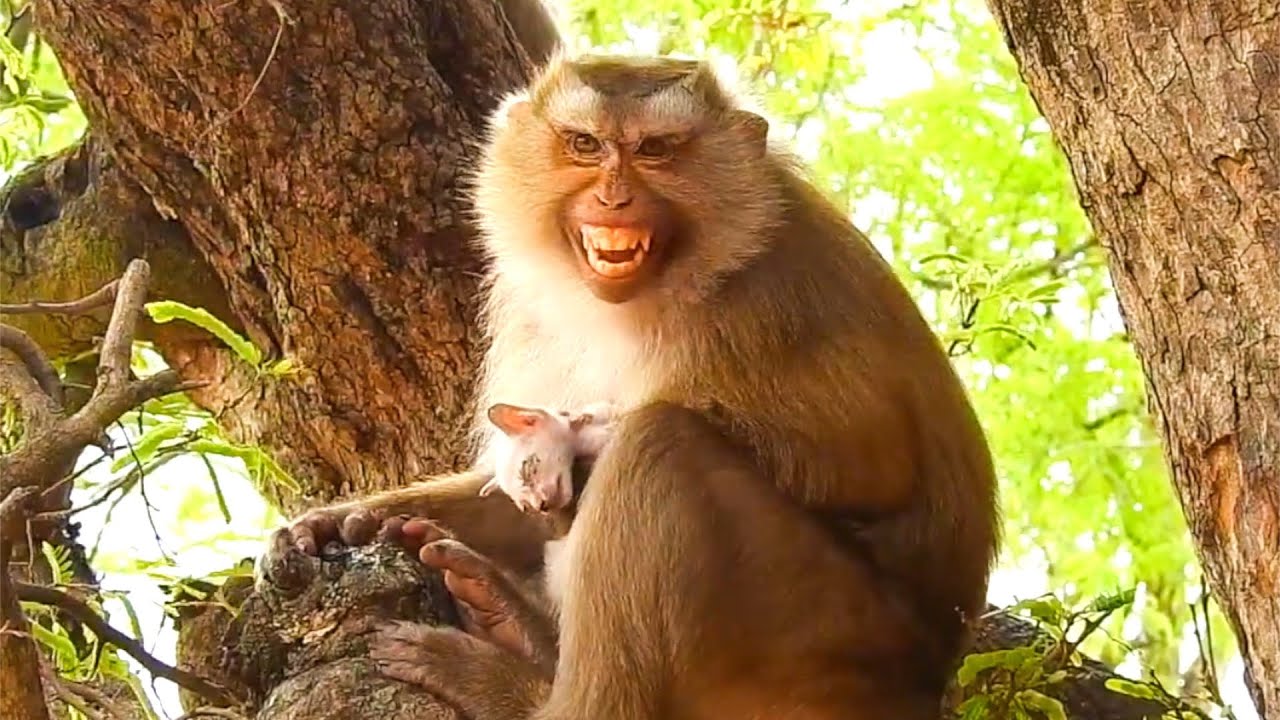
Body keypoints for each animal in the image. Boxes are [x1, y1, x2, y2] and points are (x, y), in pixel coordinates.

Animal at [264, 52, 1000, 719]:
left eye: (656, 150)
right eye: (585, 145)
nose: (614, 196)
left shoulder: (761, 305)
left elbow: (870, 467)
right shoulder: (527, 310)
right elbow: (517, 487)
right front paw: (348, 519)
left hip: (826, 633)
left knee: (660, 444)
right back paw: (513, 624)